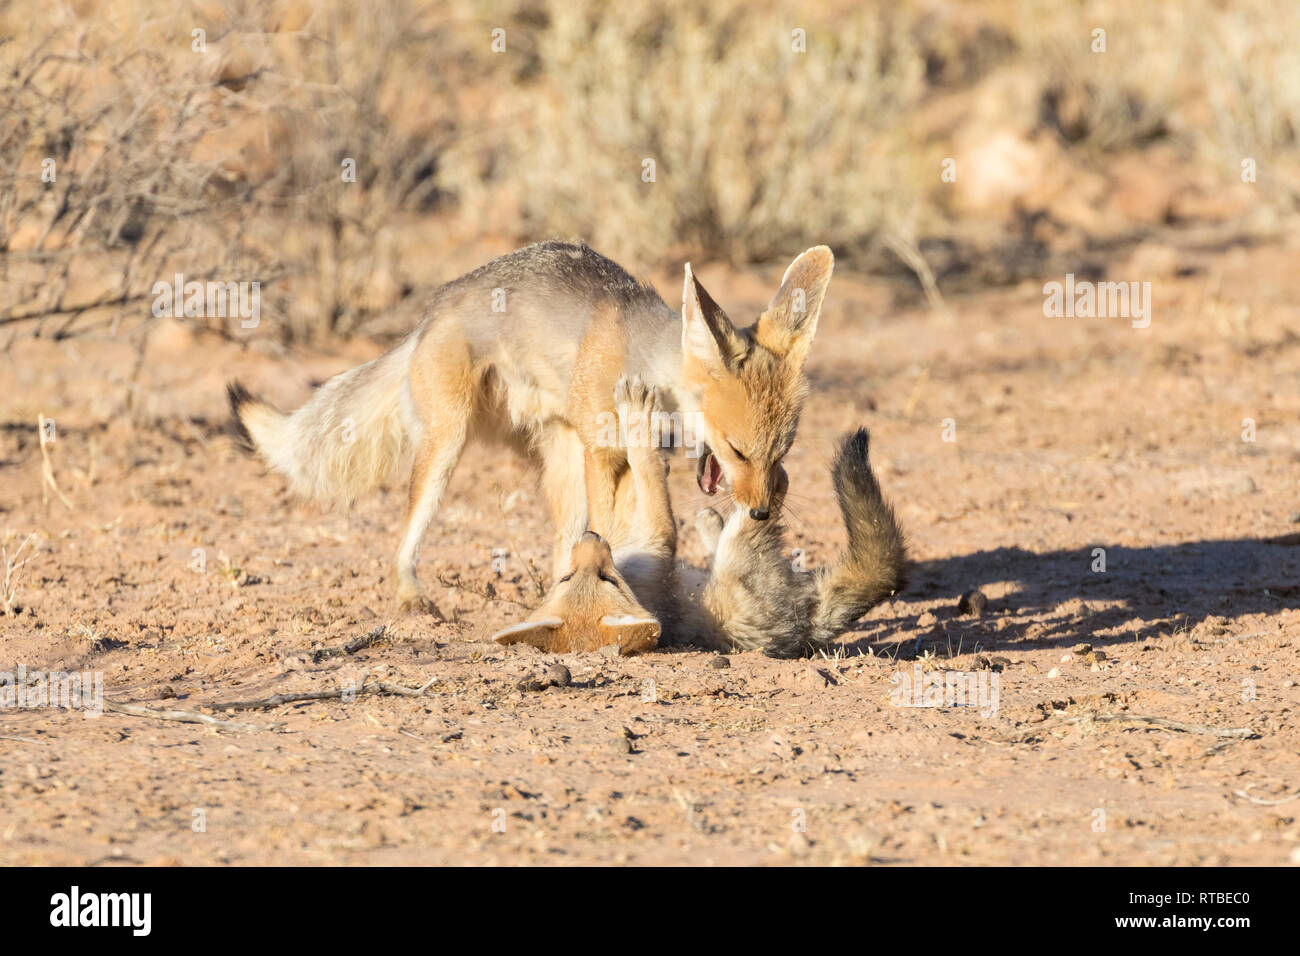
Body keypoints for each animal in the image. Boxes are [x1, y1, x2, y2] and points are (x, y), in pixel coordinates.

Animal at [229, 240, 835, 615]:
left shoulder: (609, 458)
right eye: (738, 450)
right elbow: (624, 524)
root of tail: (434, 307)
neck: (644, 363)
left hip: (559, 463)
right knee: (408, 529)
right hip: (447, 447)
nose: (761, 512)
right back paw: (410, 595)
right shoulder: (604, 453)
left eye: (781, 452)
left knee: (566, 543)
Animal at [492, 378, 907, 659]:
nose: (590, 538)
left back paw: (711, 520)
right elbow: (645, 470)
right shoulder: (659, 537)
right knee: (764, 508)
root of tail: (806, 628)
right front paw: (637, 415)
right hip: (739, 551)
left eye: (564, 578)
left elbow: (630, 481)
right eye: (605, 580)